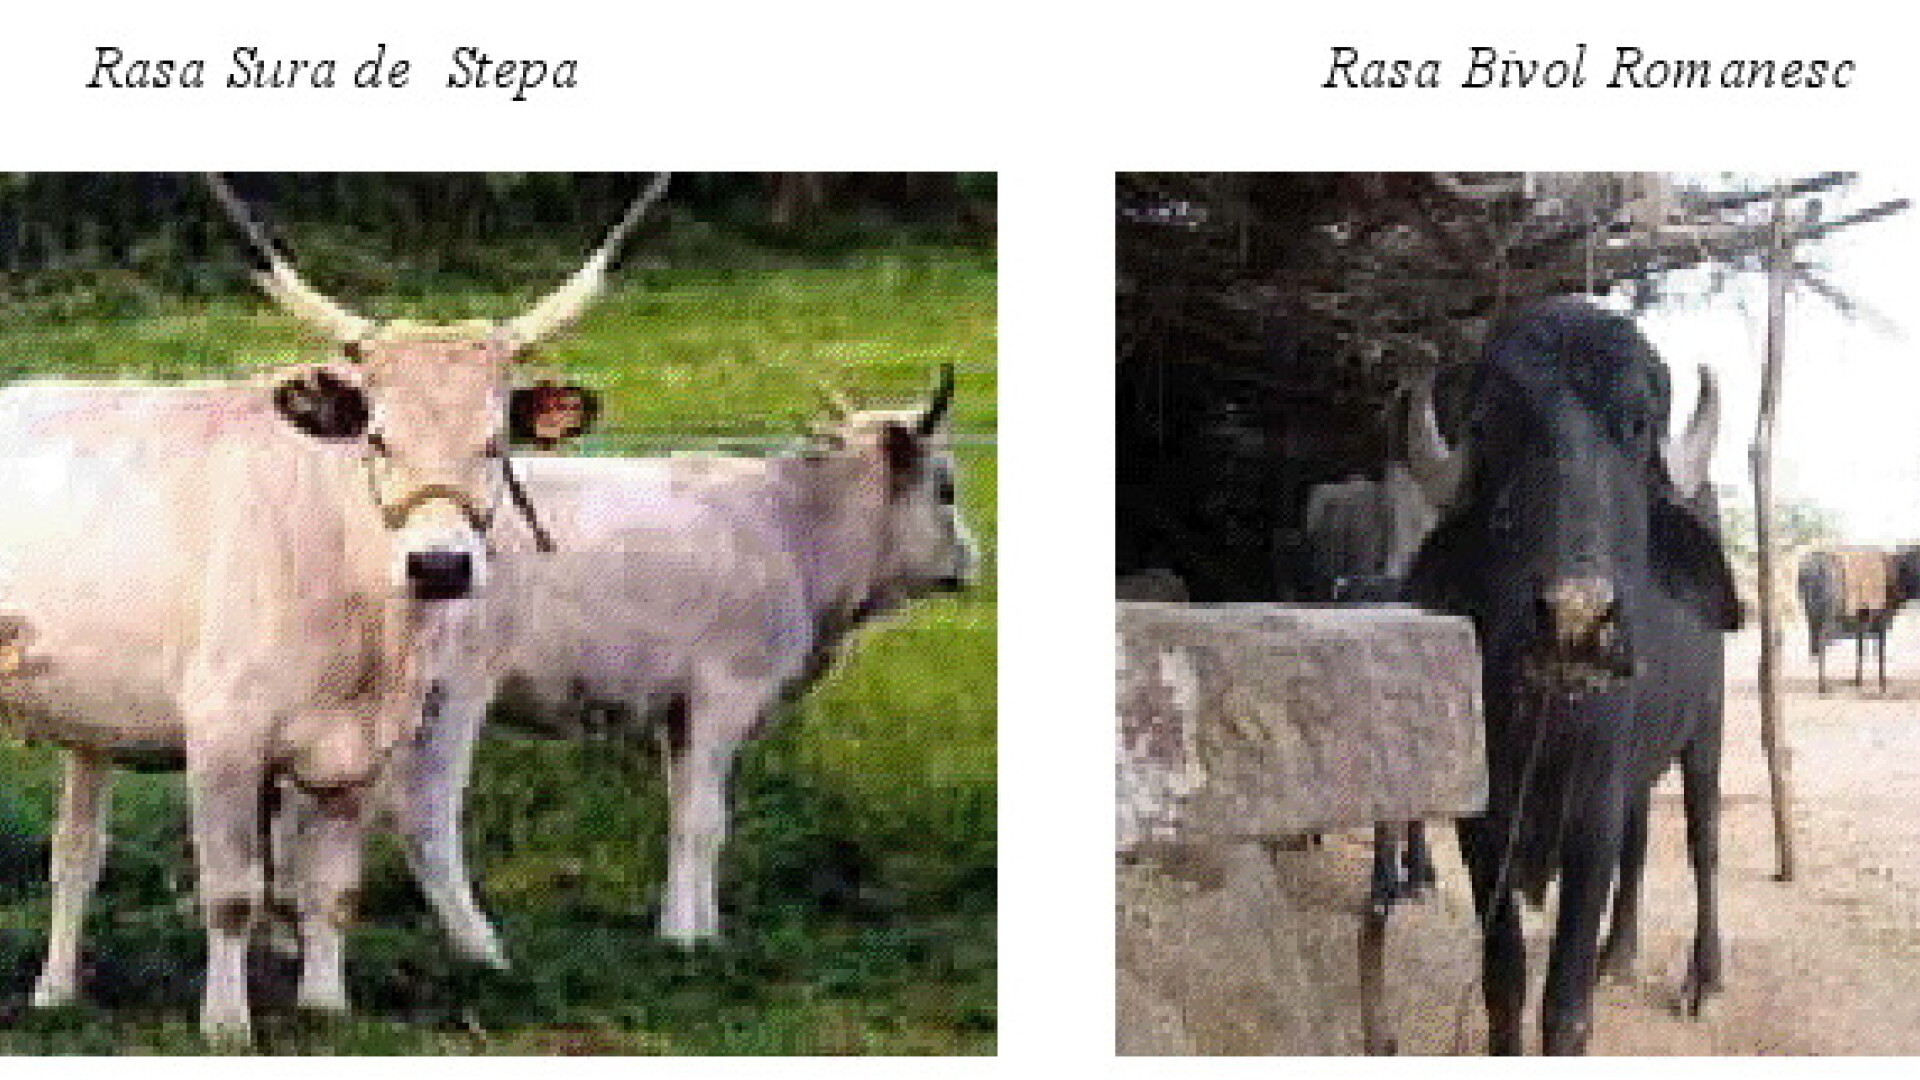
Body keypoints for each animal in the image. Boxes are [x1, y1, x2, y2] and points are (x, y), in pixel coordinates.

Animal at [0, 173, 661, 1041]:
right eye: (376, 438)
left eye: (496, 442)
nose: (440, 565)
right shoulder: (222, 735)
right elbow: (233, 893)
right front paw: (226, 1026)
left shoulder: (361, 753)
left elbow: (333, 891)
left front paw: (325, 1003)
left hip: (91, 723)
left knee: (76, 850)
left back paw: (55, 992)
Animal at [1404, 297, 1738, 1054]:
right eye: (1488, 425)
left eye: (1637, 423)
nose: (1575, 619)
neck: (1547, 723)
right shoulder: (1483, 822)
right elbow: (1503, 980)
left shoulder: (1593, 815)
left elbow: (1564, 1005)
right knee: (1641, 843)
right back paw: (1619, 954)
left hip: (1706, 729)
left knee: (1702, 844)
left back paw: (1703, 979)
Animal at [1797, 546, 1920, 693]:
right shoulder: (1882, 619)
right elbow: (1880, 650)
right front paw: (1882, 683)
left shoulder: (1861, 620)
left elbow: (1860, 647)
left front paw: (1858, 680)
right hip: (1829, 616)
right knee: (1822, 642)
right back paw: (1822, 685)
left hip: (1811, 614)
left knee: (1815, 642)